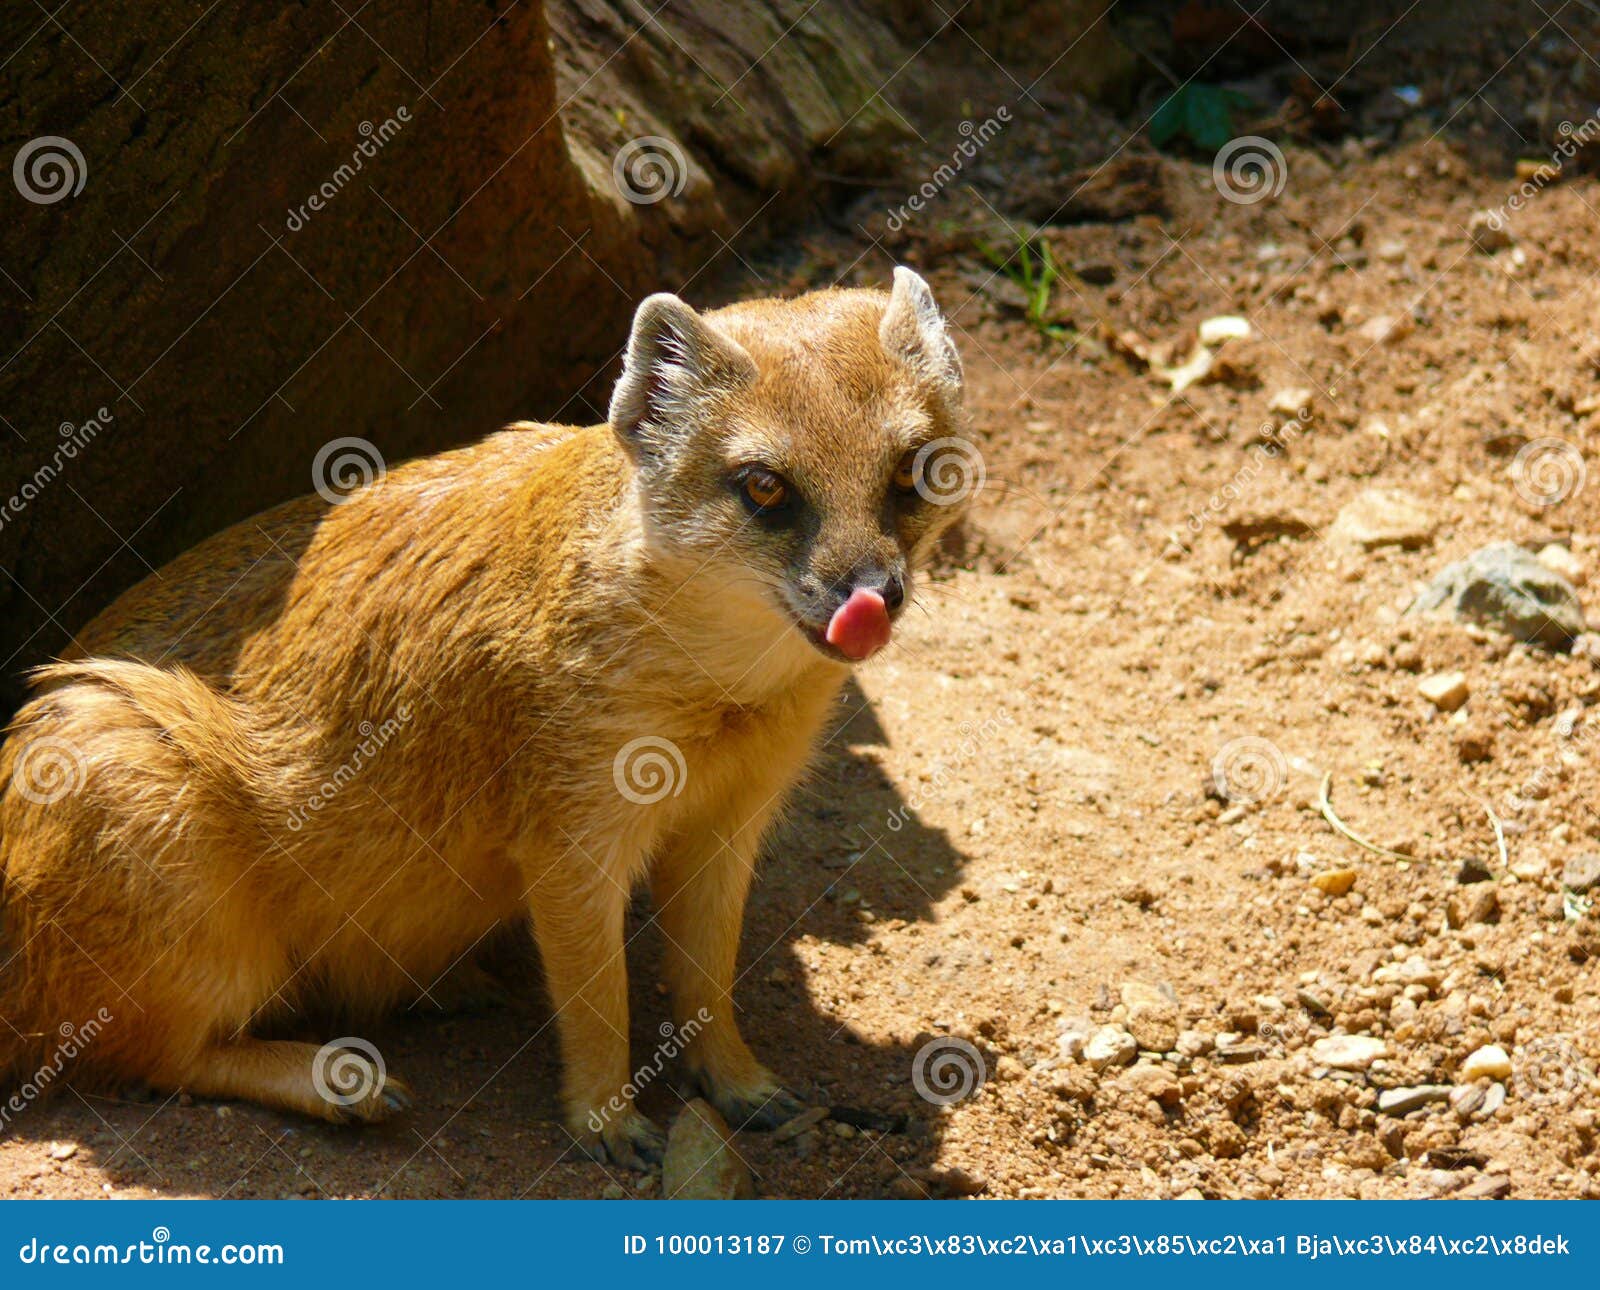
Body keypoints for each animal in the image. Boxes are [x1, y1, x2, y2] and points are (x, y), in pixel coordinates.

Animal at [0, 267, 972, 1167]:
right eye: (764, 485)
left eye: (910, 471)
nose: (870, 594)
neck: (728, 696)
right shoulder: (569, 816)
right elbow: (596, 987)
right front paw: (610, 1125)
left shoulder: (734, 816)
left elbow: (708, 969)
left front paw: (748, 1086)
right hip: (123, 792)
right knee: (146, 1052)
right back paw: (337, 1080)